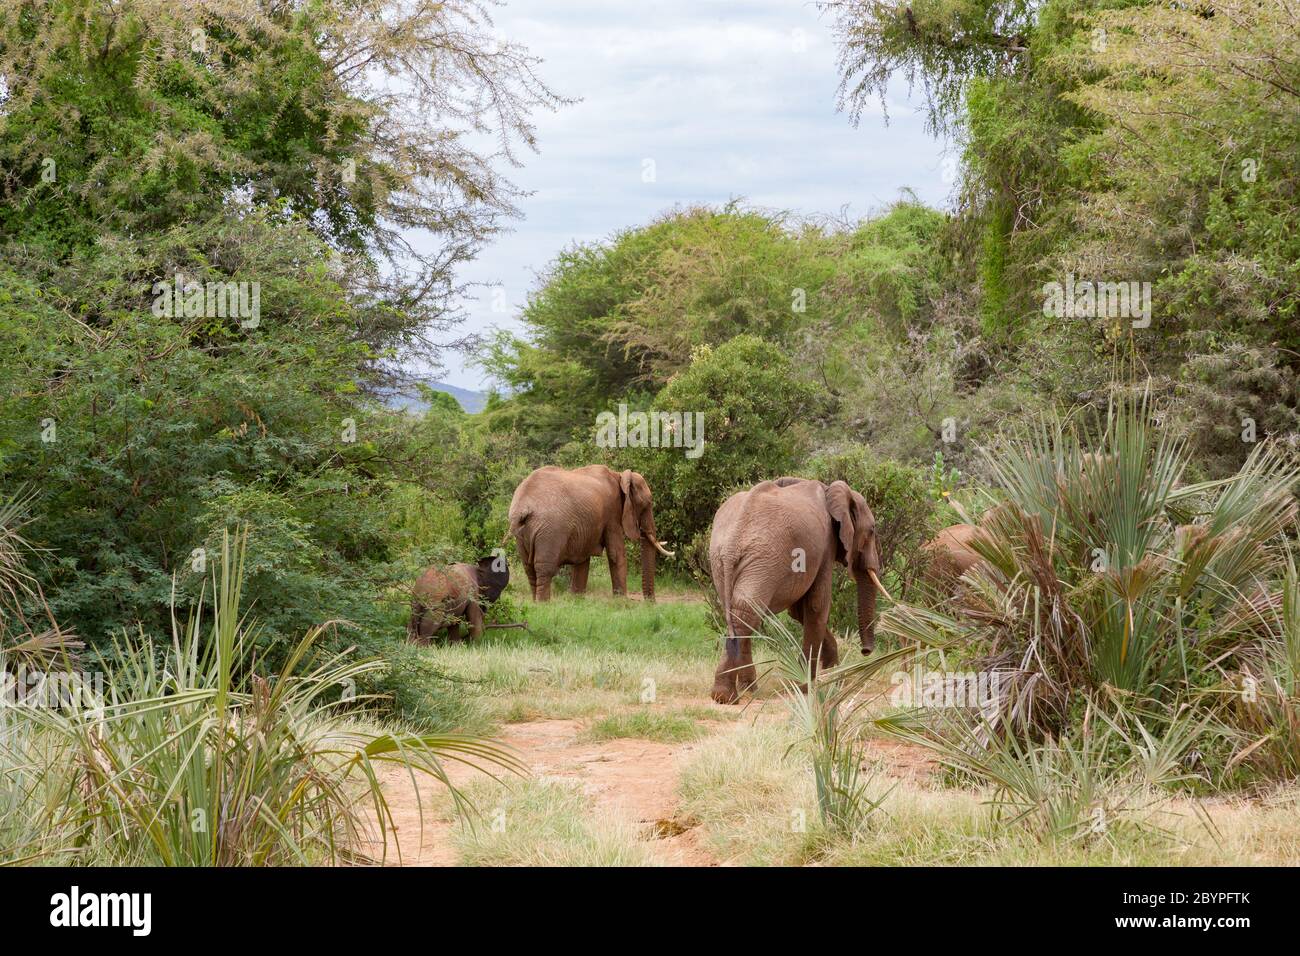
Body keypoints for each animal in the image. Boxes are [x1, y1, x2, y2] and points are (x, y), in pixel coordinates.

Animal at [508, 465, 674, 601]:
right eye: (647, 504)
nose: (650, 603)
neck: (619, 476)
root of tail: (523, 506)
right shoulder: (612, 513)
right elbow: (616, 554)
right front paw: (622, 603)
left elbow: (582, 559)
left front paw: (577, 600)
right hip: (548, 531)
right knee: (545, 570)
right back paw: (544, 604)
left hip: (521, 533)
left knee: (529, 570)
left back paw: (536, 603)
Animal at [707, 477, 888, 704]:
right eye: (872, 530)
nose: (866, 651)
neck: (831, 491)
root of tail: (733, 542)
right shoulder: (825, 545)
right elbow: (817, 605)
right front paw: (808, 687)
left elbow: (799, 611)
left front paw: (833, 675)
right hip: (763, 560)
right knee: (747, 610)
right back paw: (726, 696)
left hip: (723, 560)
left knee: (740, 613)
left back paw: (745, 691)